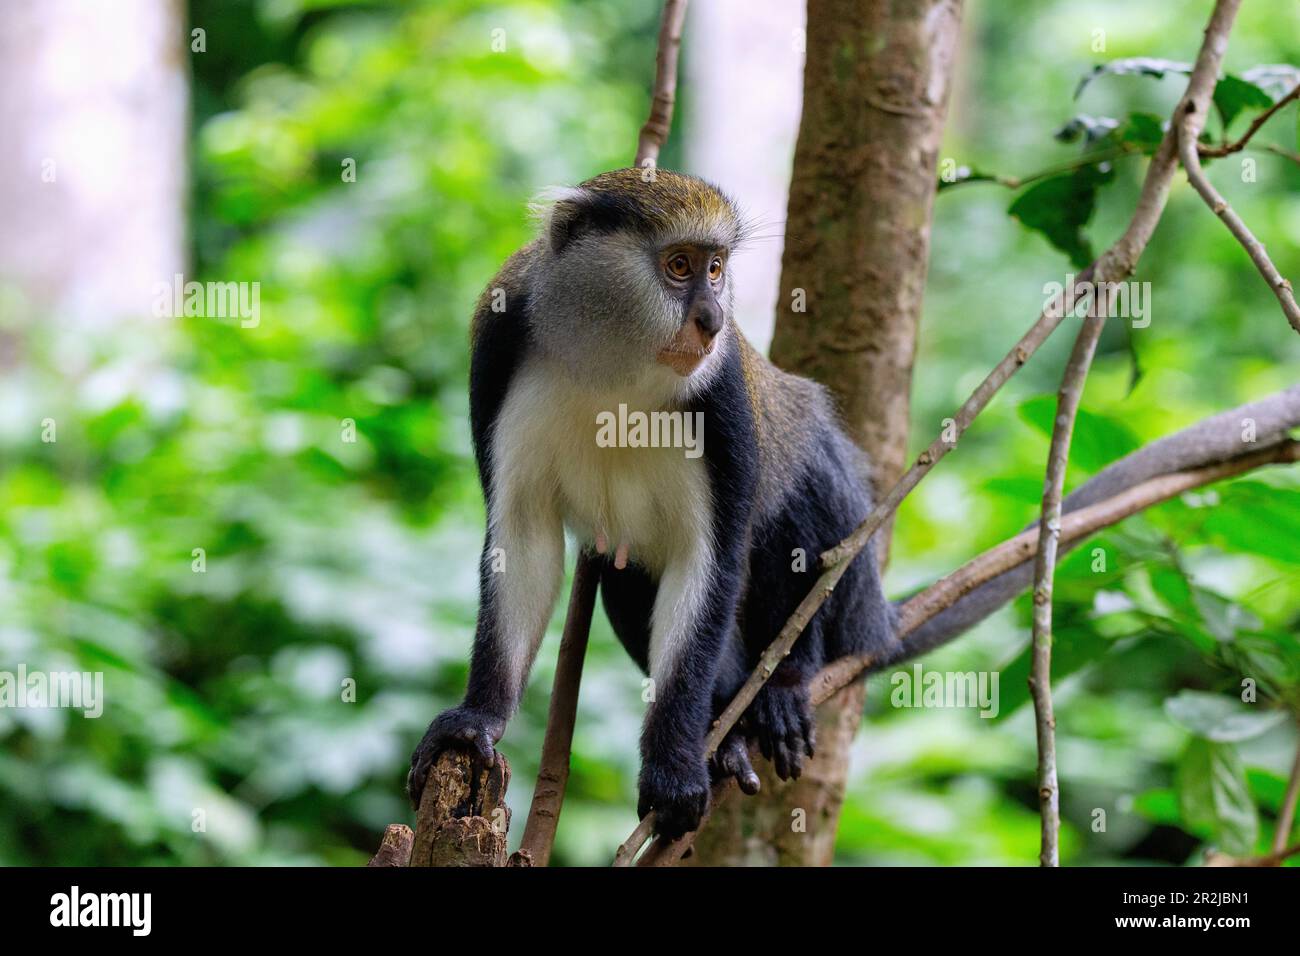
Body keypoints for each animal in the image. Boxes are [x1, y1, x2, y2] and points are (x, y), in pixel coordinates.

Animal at [408, 168, 898, 839]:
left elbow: (708, 560)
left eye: (716, 269)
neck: (612, 360)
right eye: (678, 265)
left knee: (802, 496)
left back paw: (782, 685)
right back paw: (728, 739)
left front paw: (672, 772)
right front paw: (477, 719)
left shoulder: (721, 394)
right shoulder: (498, 340)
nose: (713, 319)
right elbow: (524, 539)